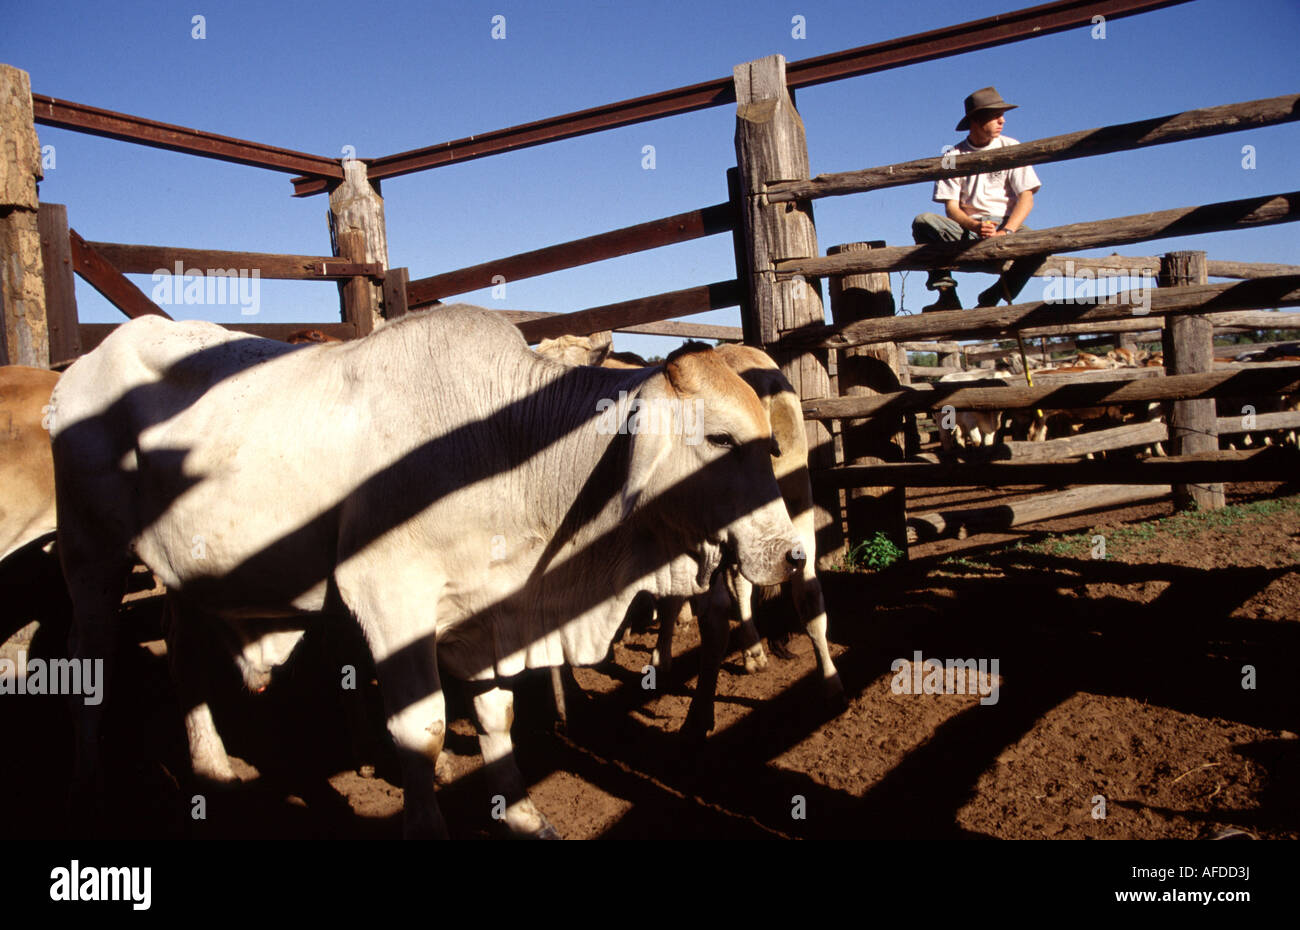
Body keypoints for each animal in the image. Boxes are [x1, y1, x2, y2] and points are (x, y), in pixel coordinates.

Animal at [51, 305, 805, 839]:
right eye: (718, 438)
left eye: (768, 443)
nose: (790, 553)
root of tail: (81, 366)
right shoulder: (390, 600)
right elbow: (424, 732)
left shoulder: (490, 608)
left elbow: (498, 713)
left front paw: (522, 815)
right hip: (91, 555)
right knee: (92, 658)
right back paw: (87, 782)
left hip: (191, 573)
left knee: (184, 656)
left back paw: (209, 765)